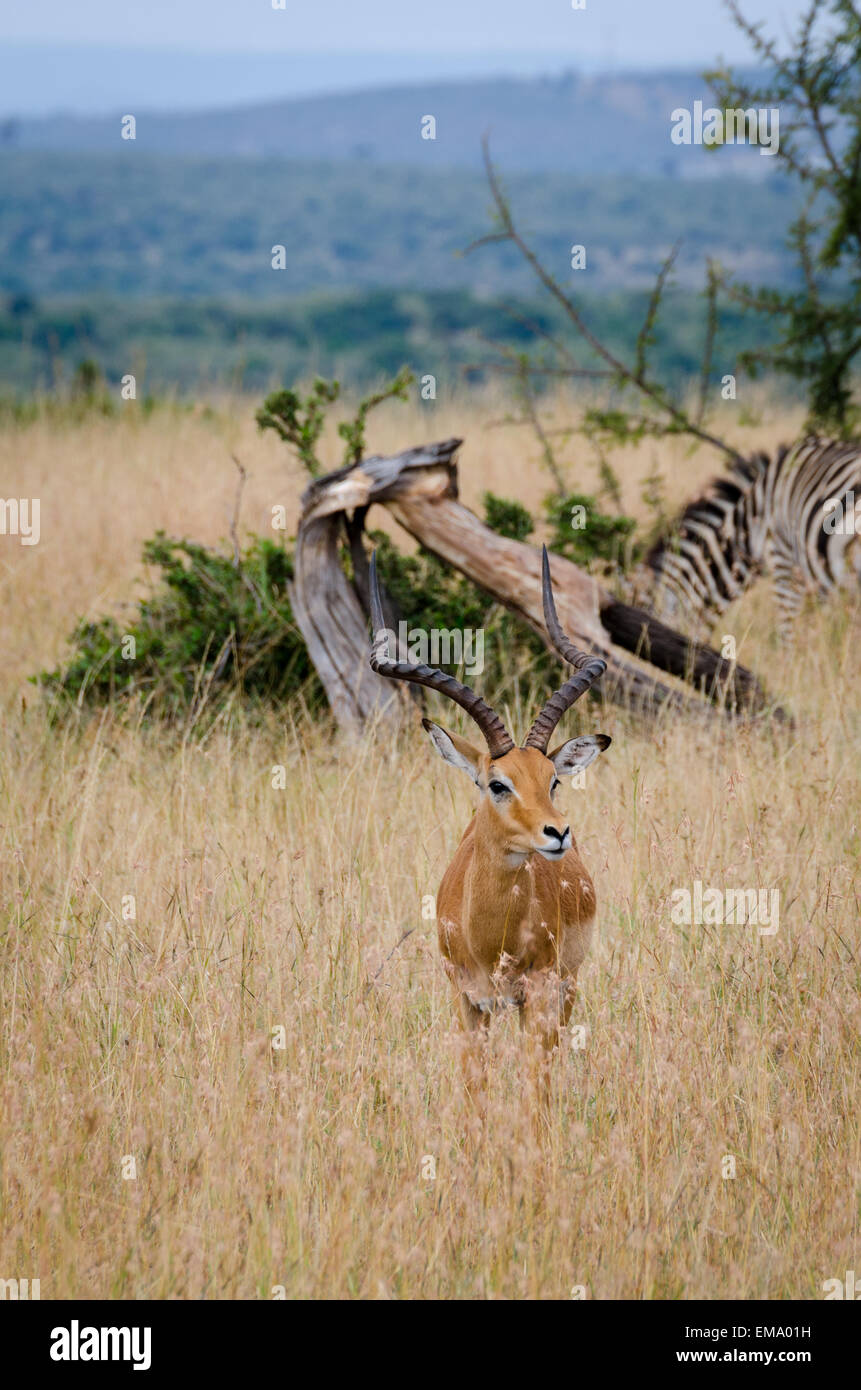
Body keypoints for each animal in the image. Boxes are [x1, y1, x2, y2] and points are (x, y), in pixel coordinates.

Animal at [369, 545, 611, 1108]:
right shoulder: (467, 1002)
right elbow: (474, 1092)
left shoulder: (537, 995)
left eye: (552, 780)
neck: (489, 937)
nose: (557, 833)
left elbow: (533, 1092)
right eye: (496, 784)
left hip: (565, 989)